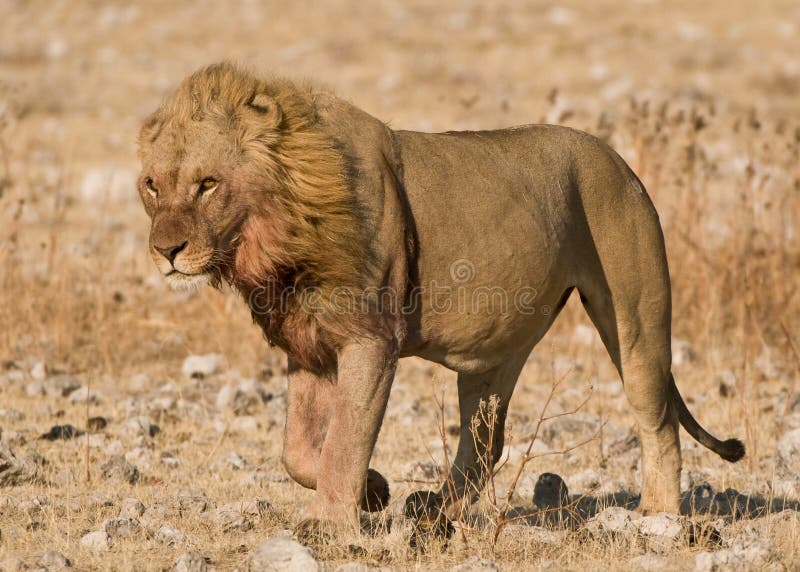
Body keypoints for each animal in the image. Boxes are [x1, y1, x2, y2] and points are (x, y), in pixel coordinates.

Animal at [137, 62, 744, 537]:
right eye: (151, 185)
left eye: (208, 184)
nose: (166, 250)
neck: (280, 236)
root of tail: (620, 161)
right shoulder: (307, 344)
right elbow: (299, 451)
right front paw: (373, 491)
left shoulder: (371, 340)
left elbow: (346, 436)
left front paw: (328, 524)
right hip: (494, 353)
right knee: (485, 444)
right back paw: (430, 510)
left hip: (635, 316)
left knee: (657, 419)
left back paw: (656, 516)